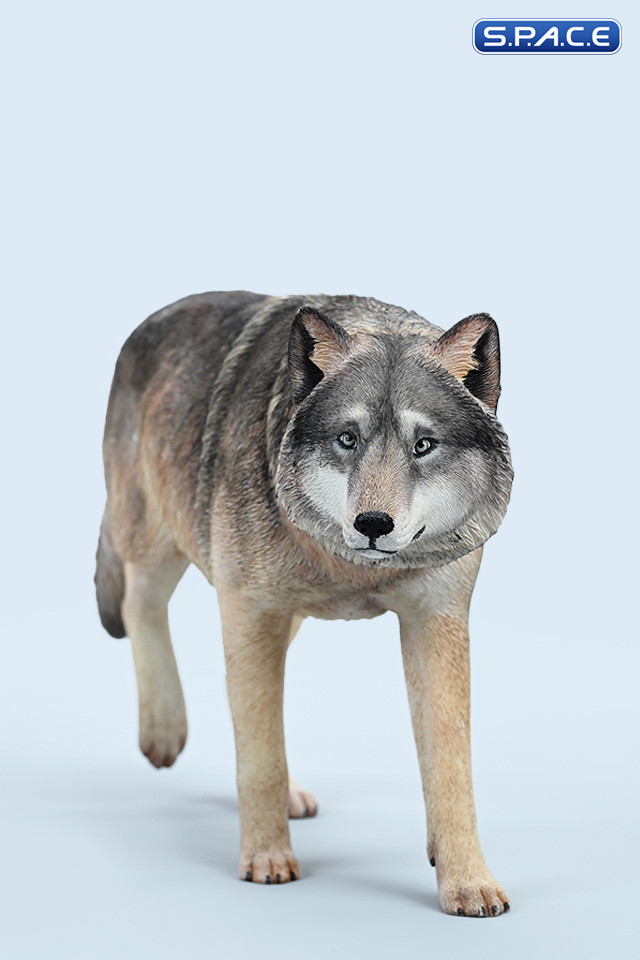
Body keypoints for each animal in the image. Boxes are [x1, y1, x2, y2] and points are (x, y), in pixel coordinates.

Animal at [95, 291, 513, 916]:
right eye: (347, 439)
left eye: (423, 446)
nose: (372, 524)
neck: (347, 567)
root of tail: (150, 322)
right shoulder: (249, 611)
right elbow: (261, 757)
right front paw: (267, 859)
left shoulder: (435, 623)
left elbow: (449, 767)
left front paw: (466, 881)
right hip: (160, 543)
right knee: (140, 605)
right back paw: (163, 733)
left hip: (277, 619)